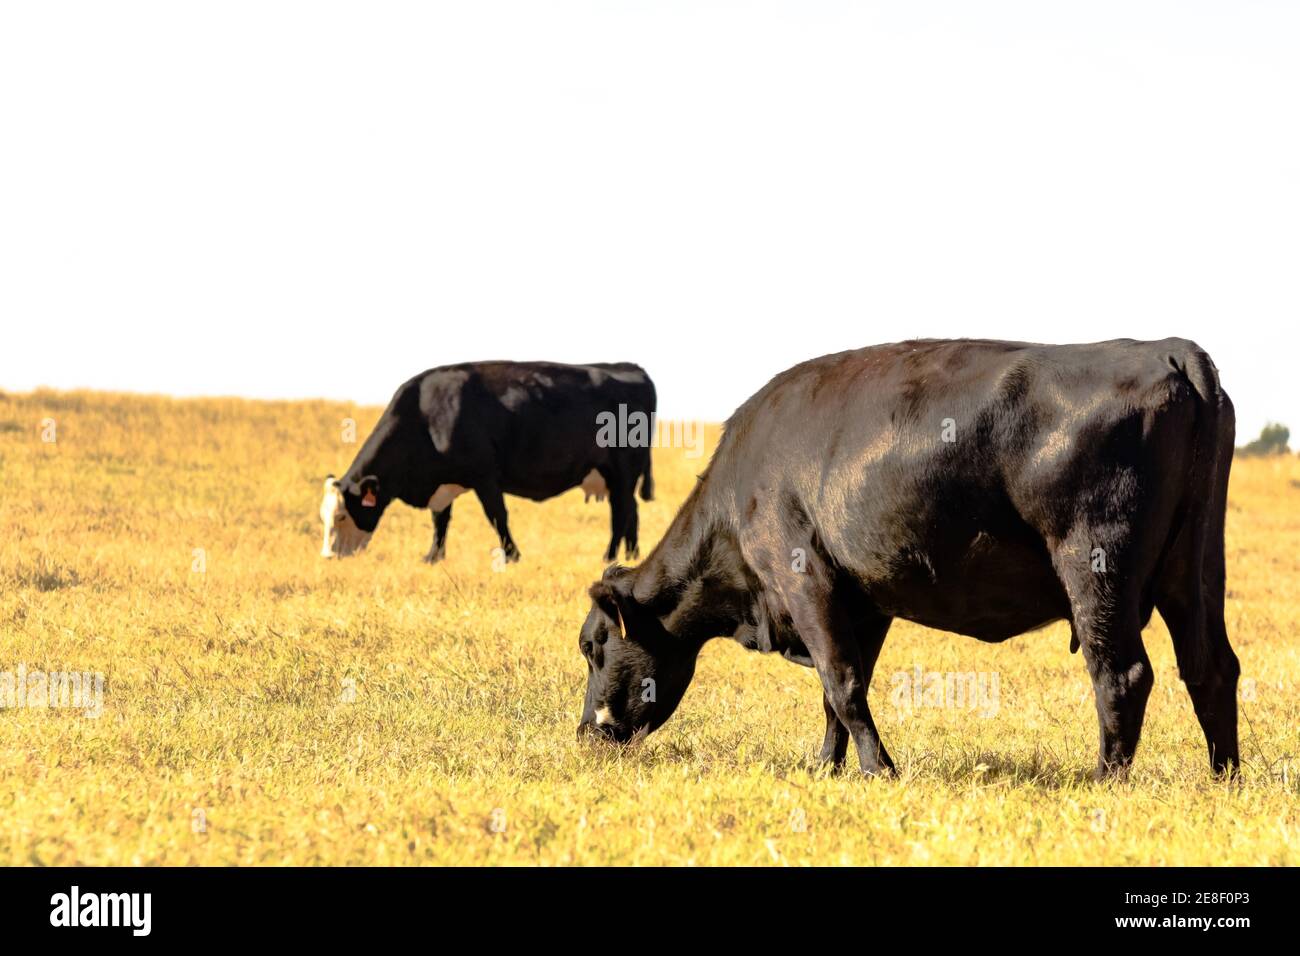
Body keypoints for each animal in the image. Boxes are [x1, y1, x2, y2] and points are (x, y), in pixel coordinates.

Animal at [320, 361, 655, 564]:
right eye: (323, 517)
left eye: (342, 516)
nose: (327, 556)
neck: (427, 414)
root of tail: (629, 367)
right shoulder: (444, 483)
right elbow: (440, 520)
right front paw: (433, 557)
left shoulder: (484, 476)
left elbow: (497, 517)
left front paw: (512, 555)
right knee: (631, 511)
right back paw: (633, 555)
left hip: (622, 470)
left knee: (620, 513)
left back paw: (609, 556)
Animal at [577, 338, 1239, 781]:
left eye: (593, 645)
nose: (586, 733)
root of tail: (1167, 350)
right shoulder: (863, 600)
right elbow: (838, 692)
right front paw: (827, 768)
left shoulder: (803, 578)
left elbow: (841, 682)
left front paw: (880, 771)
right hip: (1195, 568)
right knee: (1211, 666)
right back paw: (1223, 779)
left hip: (1096, 566)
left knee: (1122, 674)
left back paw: (1103, 782)